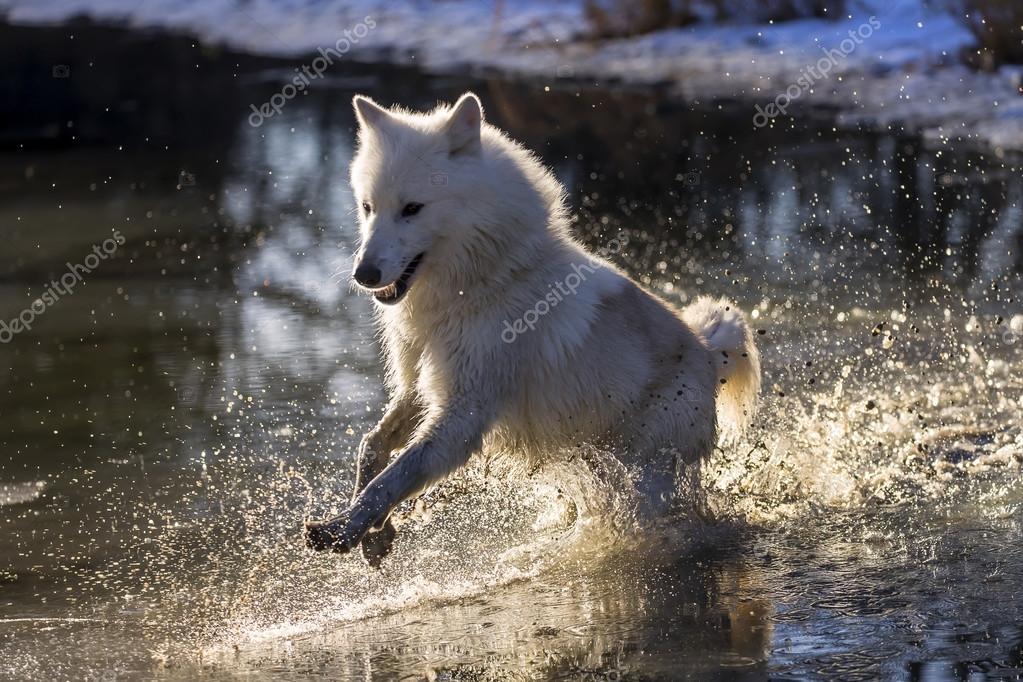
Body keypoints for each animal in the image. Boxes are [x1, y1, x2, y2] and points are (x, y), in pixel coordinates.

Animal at [305, 92, 761, 564]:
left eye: (412, 209)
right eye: (368, 208)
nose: (363, 275)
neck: (485, 281)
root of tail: (707, 351)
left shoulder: (463, 415)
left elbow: (395, 476)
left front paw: (340, 531)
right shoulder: (420, 386)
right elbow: (372, 447)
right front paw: (373, 535)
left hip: (640, 481)